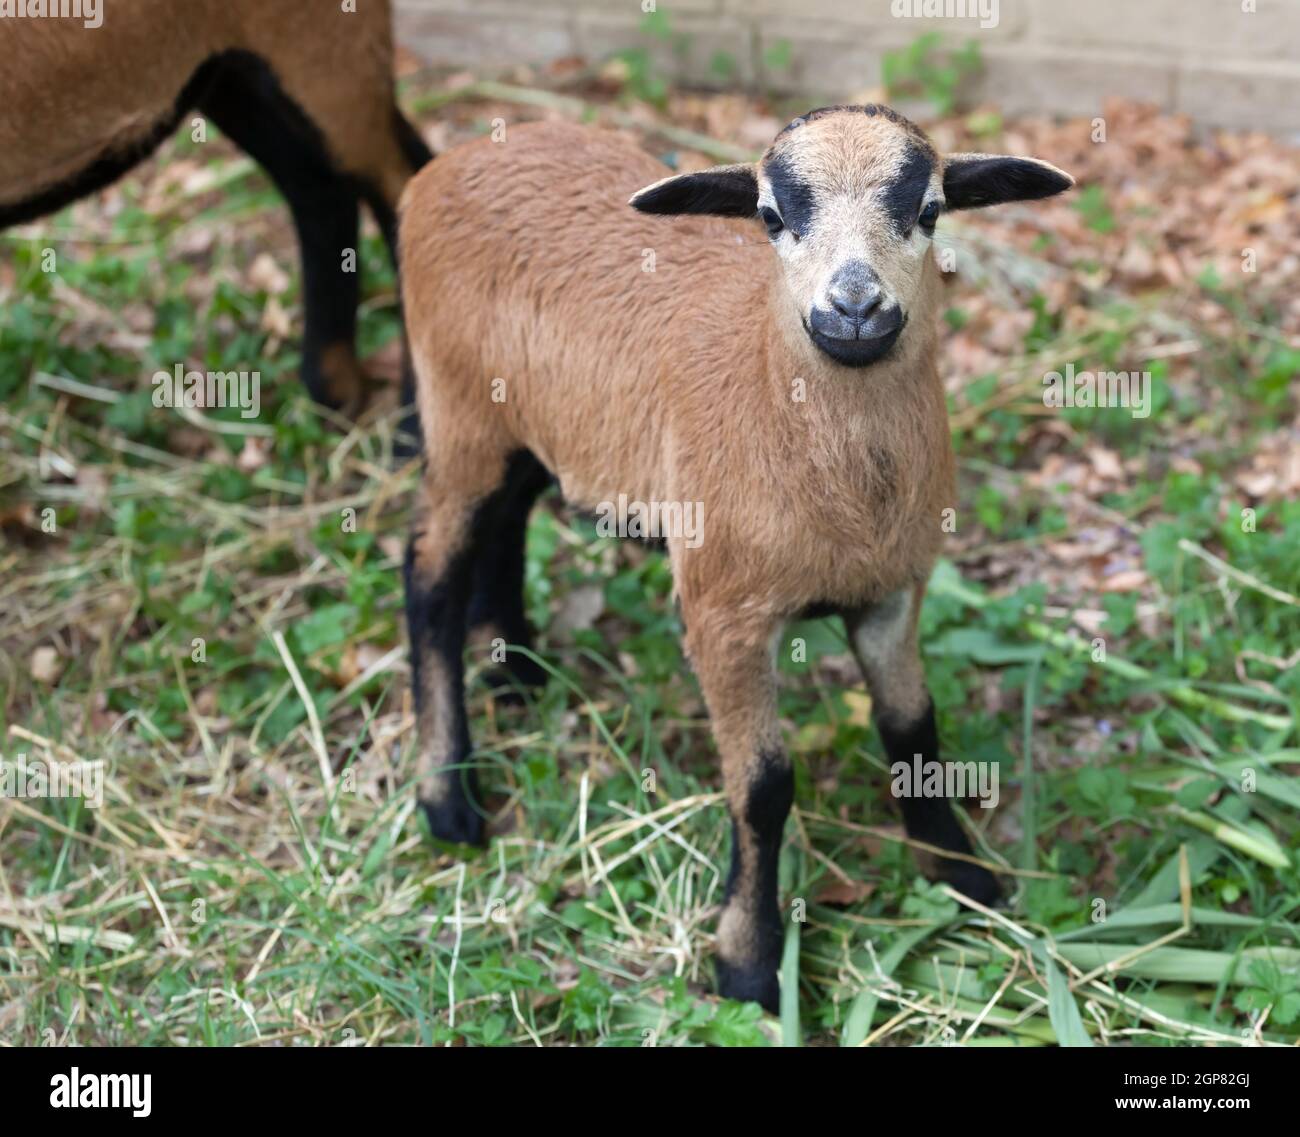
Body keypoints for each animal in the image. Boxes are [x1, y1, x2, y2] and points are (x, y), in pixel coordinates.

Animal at [0, 0, 430, 418]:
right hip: (231, 71)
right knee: (318, 188)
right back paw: (333, 393)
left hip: (323, 46)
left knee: (398, 178)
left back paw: (407, 426)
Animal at [398, 106, 1074, 1011]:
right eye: (770, 216)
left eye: (928, 210)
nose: (854, 308)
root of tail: (452, 163)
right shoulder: (723, 612)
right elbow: (762, 785)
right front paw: (748, 959)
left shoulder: (894, 588)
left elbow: (913, 729)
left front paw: (964, 877)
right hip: (458, 409)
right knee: (429, 573)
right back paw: (448, 797)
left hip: (531, 420)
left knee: (509, 518)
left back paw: (518, 669)